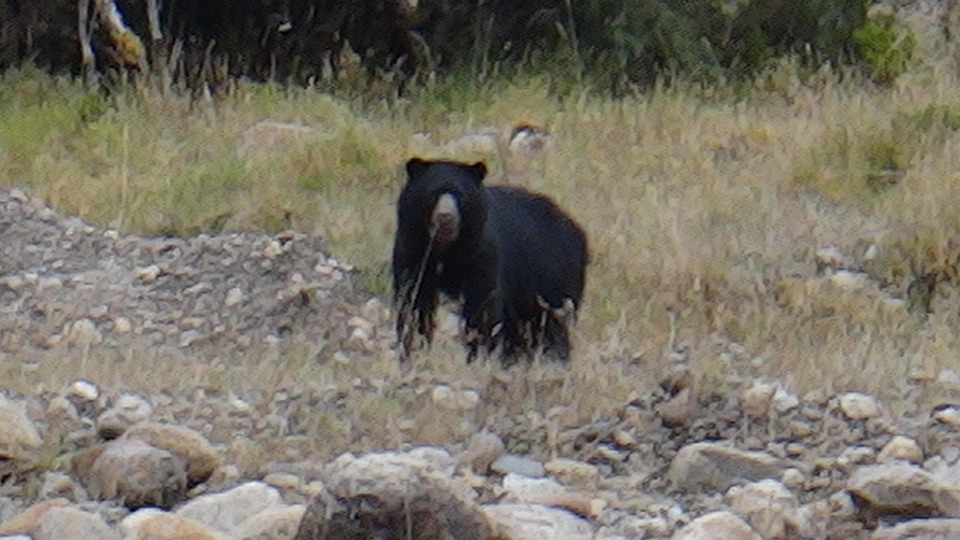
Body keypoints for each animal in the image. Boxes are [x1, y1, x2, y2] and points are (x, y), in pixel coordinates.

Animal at [392, 157, 588, 365]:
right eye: (432, 193)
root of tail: (575, 228)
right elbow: (414, 300)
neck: (446, 251)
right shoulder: (413, 252)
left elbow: (482, 305)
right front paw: (411, 348)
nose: (445, 218)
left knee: (551, 322)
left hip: (549, 276)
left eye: (460, 195)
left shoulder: (482, 256)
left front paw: (477, 353)